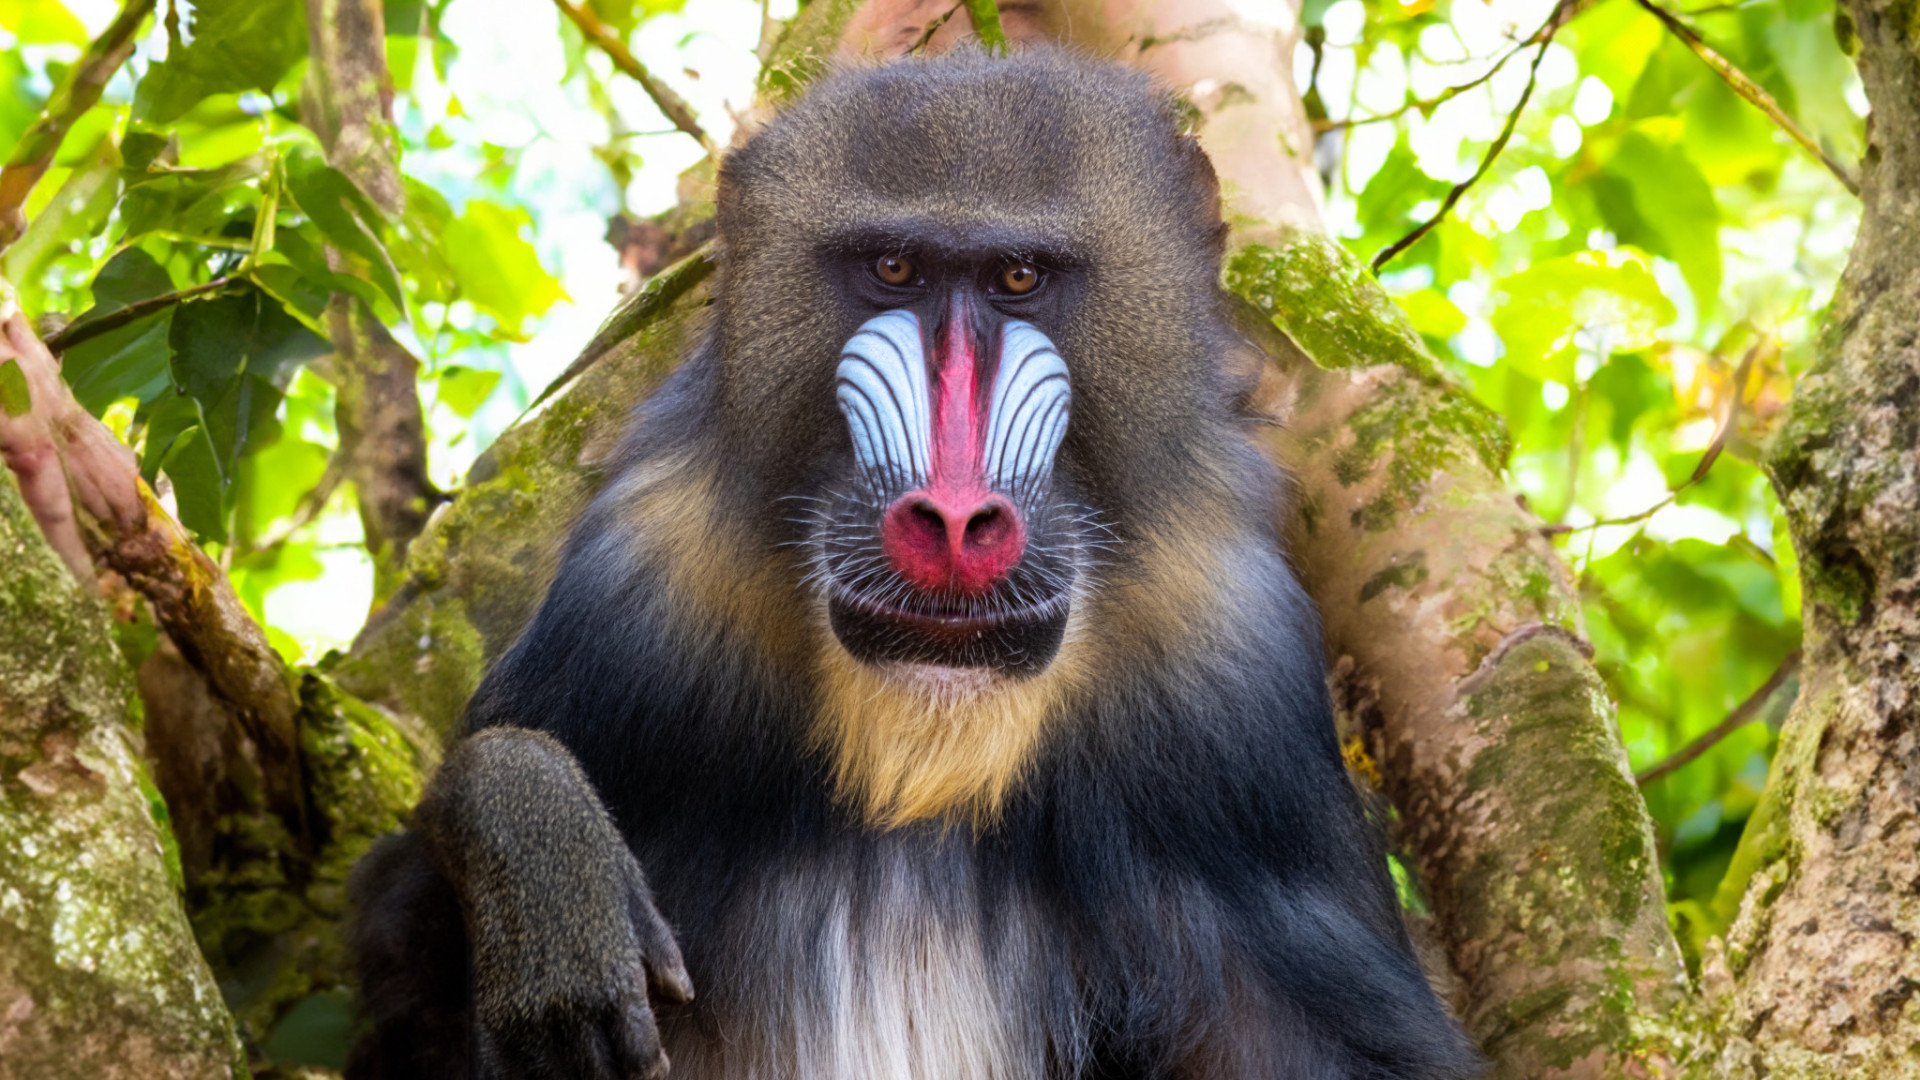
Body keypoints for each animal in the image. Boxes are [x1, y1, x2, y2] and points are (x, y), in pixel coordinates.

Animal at [346, 48, 1483, 1080]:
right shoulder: (644, 582)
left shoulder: (1235, 671)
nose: (952, 519)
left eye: (1019, 279)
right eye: (895, 271)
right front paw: (540, 857)